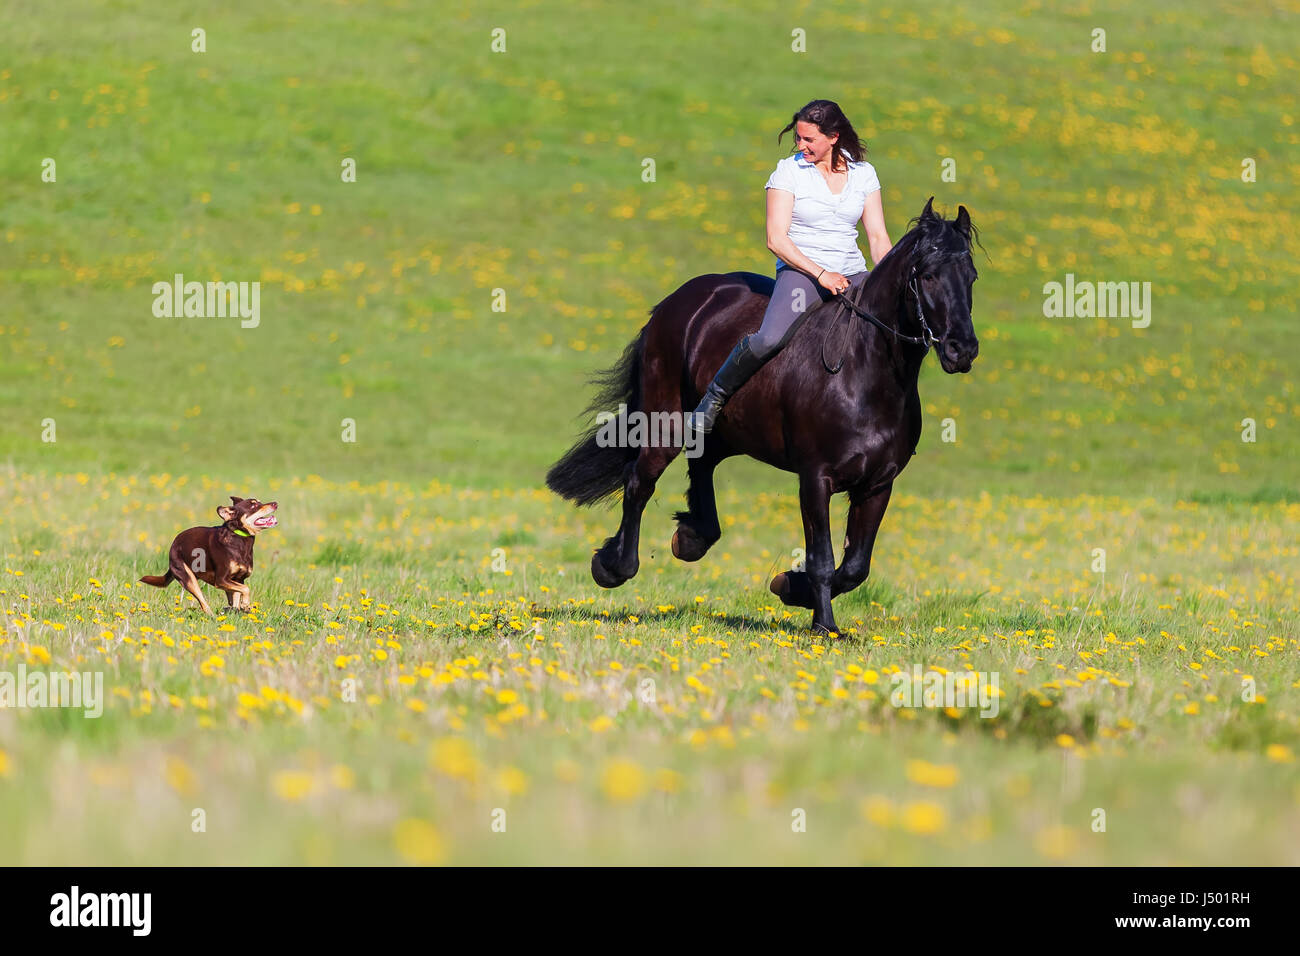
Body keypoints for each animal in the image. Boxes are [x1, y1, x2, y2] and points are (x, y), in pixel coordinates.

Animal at [546, 198, 981, 635]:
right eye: (928, 276)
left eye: (971, 277)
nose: (962, 350)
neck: (866, 371)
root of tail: (679, 301)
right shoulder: (815, 479)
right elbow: (823, 559)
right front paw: (824, 626)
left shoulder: (878, 484)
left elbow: (856, 566)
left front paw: (791, 587)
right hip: (664, 420)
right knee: (640, 479)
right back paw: (612, 567)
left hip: (727, 432)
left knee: (701, 462)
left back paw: (691, 538)